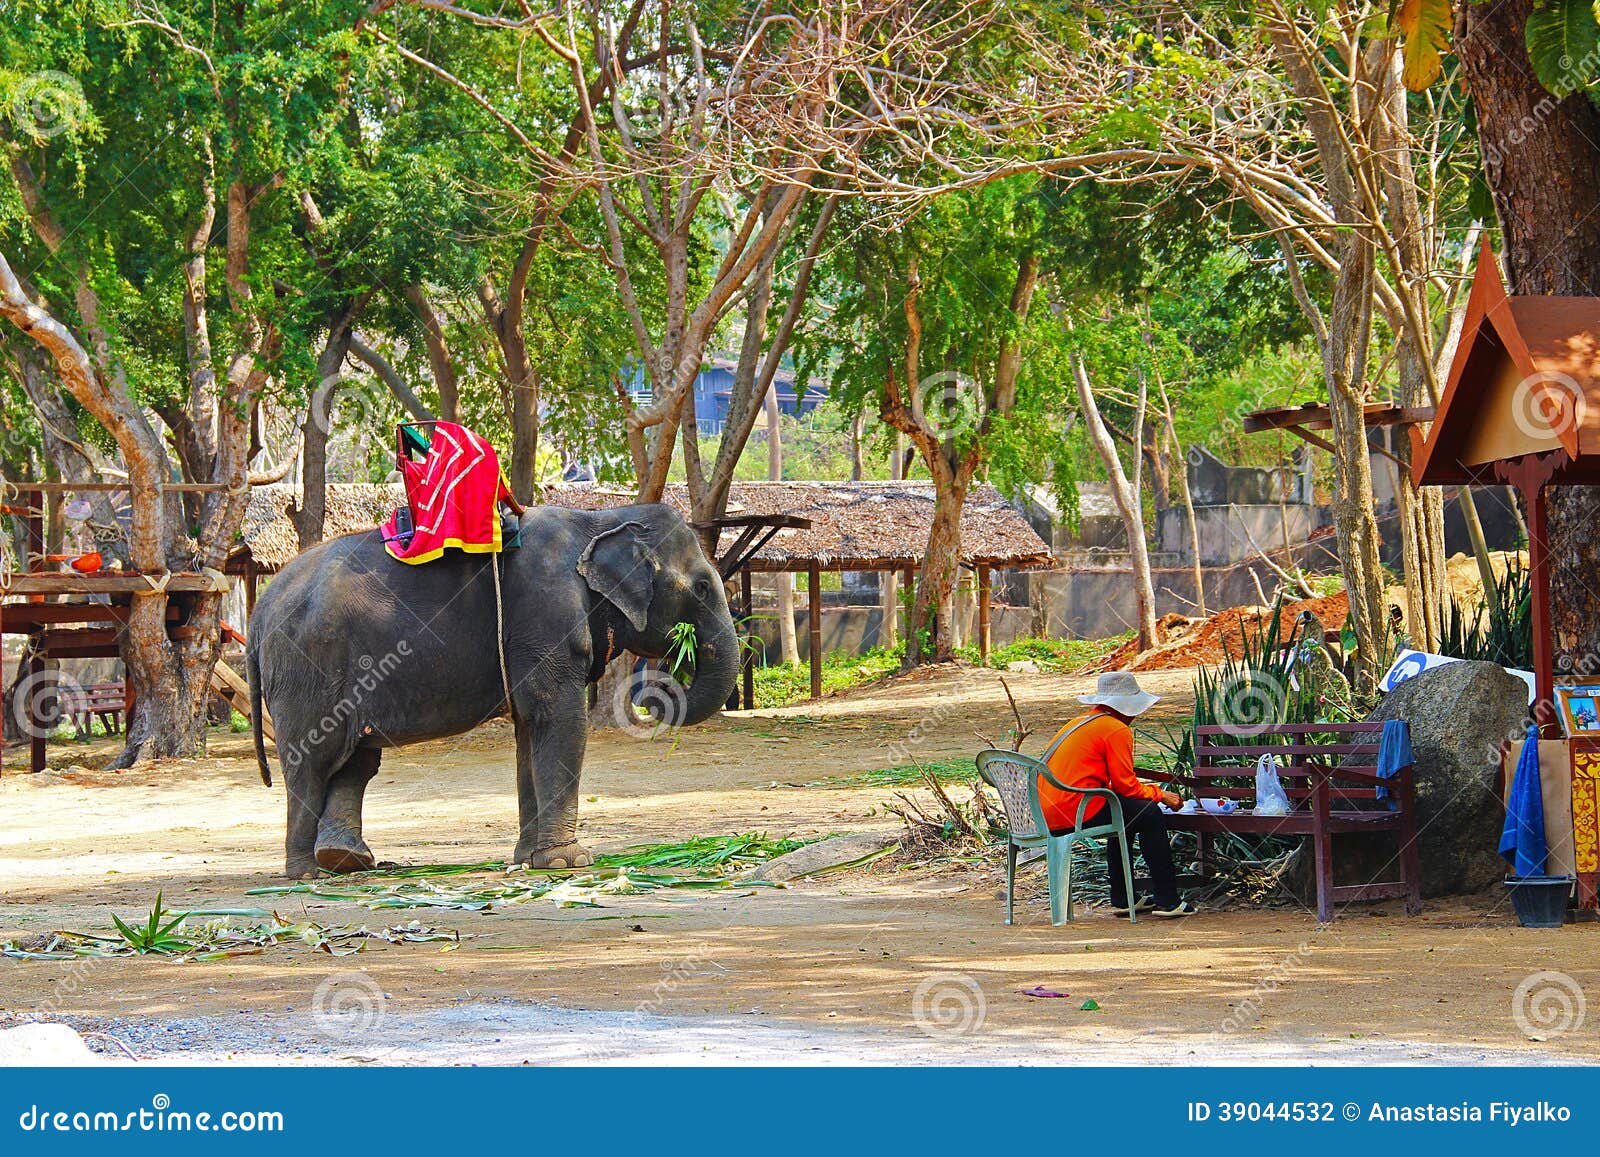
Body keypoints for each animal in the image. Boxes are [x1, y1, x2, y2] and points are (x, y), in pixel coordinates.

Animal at [247, 503, 739, 878]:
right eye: (701, 587)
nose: (655, 697)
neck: (598, 519)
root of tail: (259, 610)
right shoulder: (546, 614)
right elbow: (559, 720)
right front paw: (569, 863)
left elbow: (530, 730)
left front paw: (530, 860)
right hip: (308, 667)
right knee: (313, 762)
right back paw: (307, 873)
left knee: (355, 760)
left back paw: (345, 862)